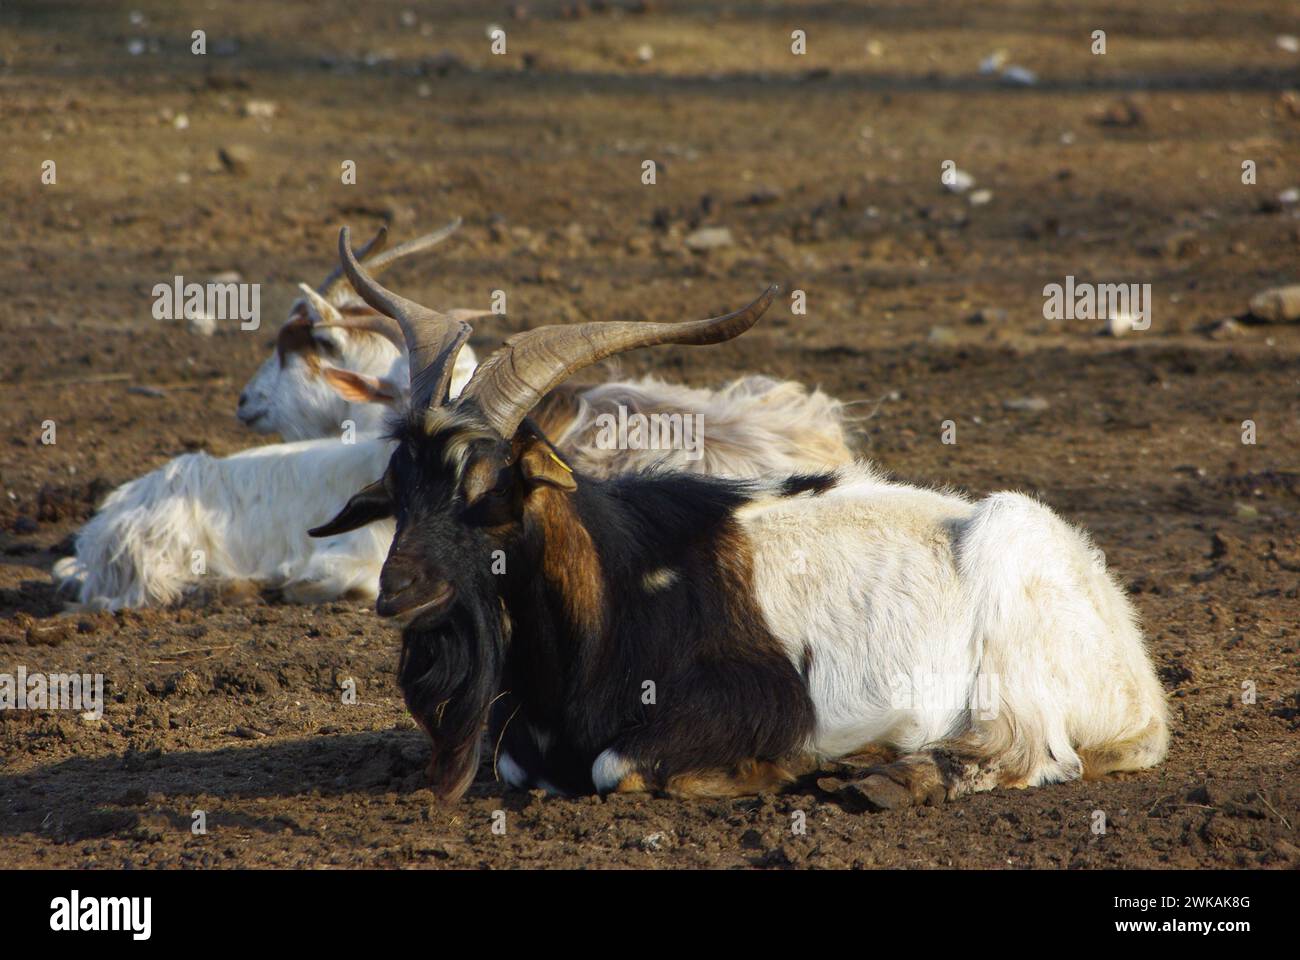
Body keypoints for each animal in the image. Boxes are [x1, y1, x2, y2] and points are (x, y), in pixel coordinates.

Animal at [316, 225, 1170, 804]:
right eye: (400, 484)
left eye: (491, 486)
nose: (399, 591)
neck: (615, 599)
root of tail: (1139, 688)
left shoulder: (751, 702)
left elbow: (618, 765)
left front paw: (778, 768)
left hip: (1009, 574)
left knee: (1035, 752)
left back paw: (880, 775)